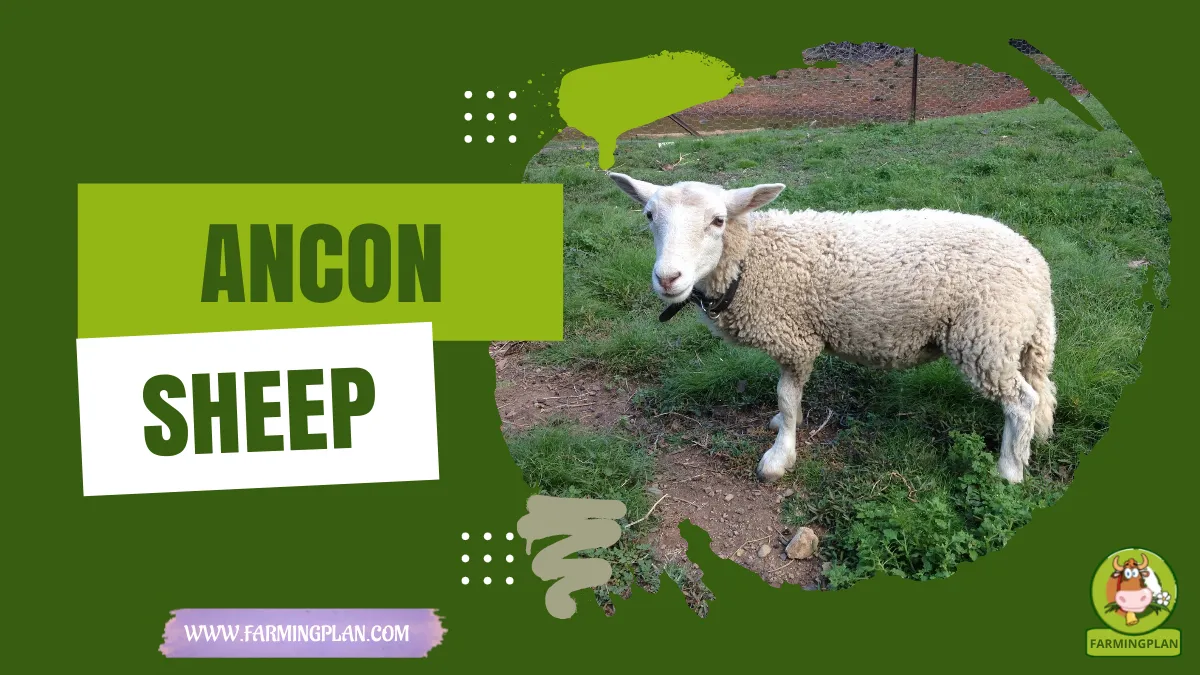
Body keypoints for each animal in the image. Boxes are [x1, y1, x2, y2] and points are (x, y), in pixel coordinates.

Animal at [608, 172, 1057, 484]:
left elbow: (787, 397)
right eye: (649, 216)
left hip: (986, 336)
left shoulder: (796, 339)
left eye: (718, 221)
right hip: (1011, 339)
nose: (668, 278)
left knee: (1023, 402)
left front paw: (779, 455)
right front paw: (780, 427)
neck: (749, 261)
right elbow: (787, 400)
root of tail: (1037, 268)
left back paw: (1008, 471)